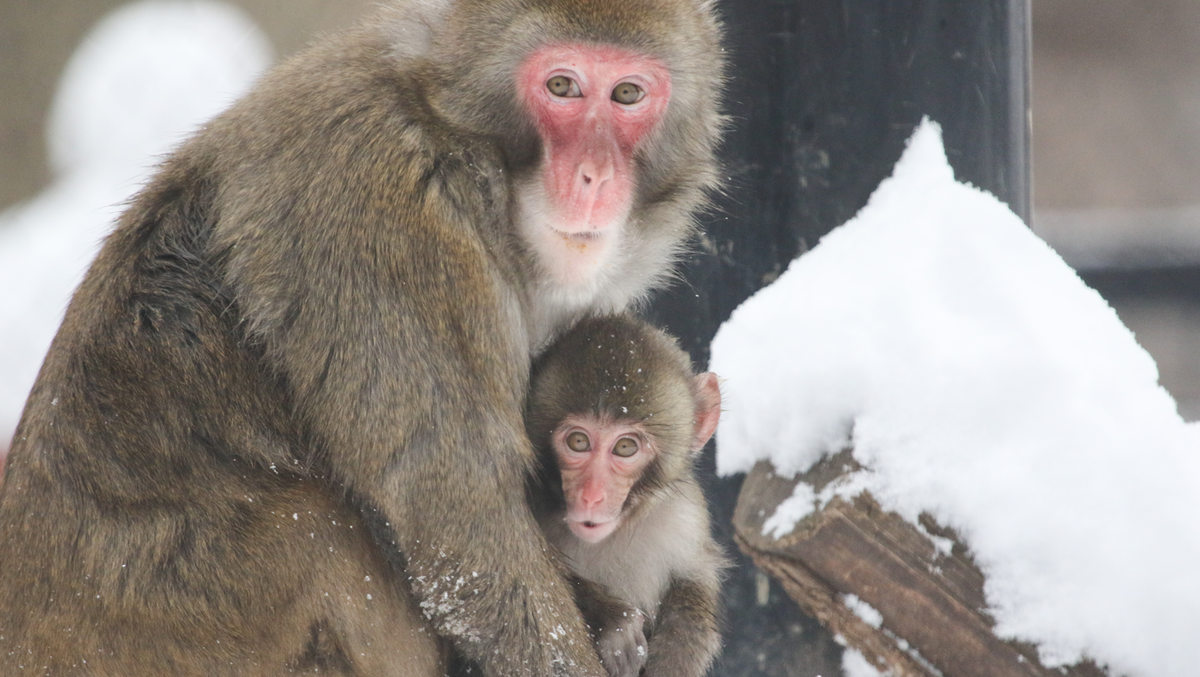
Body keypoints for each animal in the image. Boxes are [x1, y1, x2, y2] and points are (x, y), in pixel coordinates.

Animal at [523, 315, 726, 677]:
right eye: (578, 442)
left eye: (625, 447)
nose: (591, 496)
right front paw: (612, 623)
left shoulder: (684, 516)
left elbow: (697, 577)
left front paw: (676, 652)